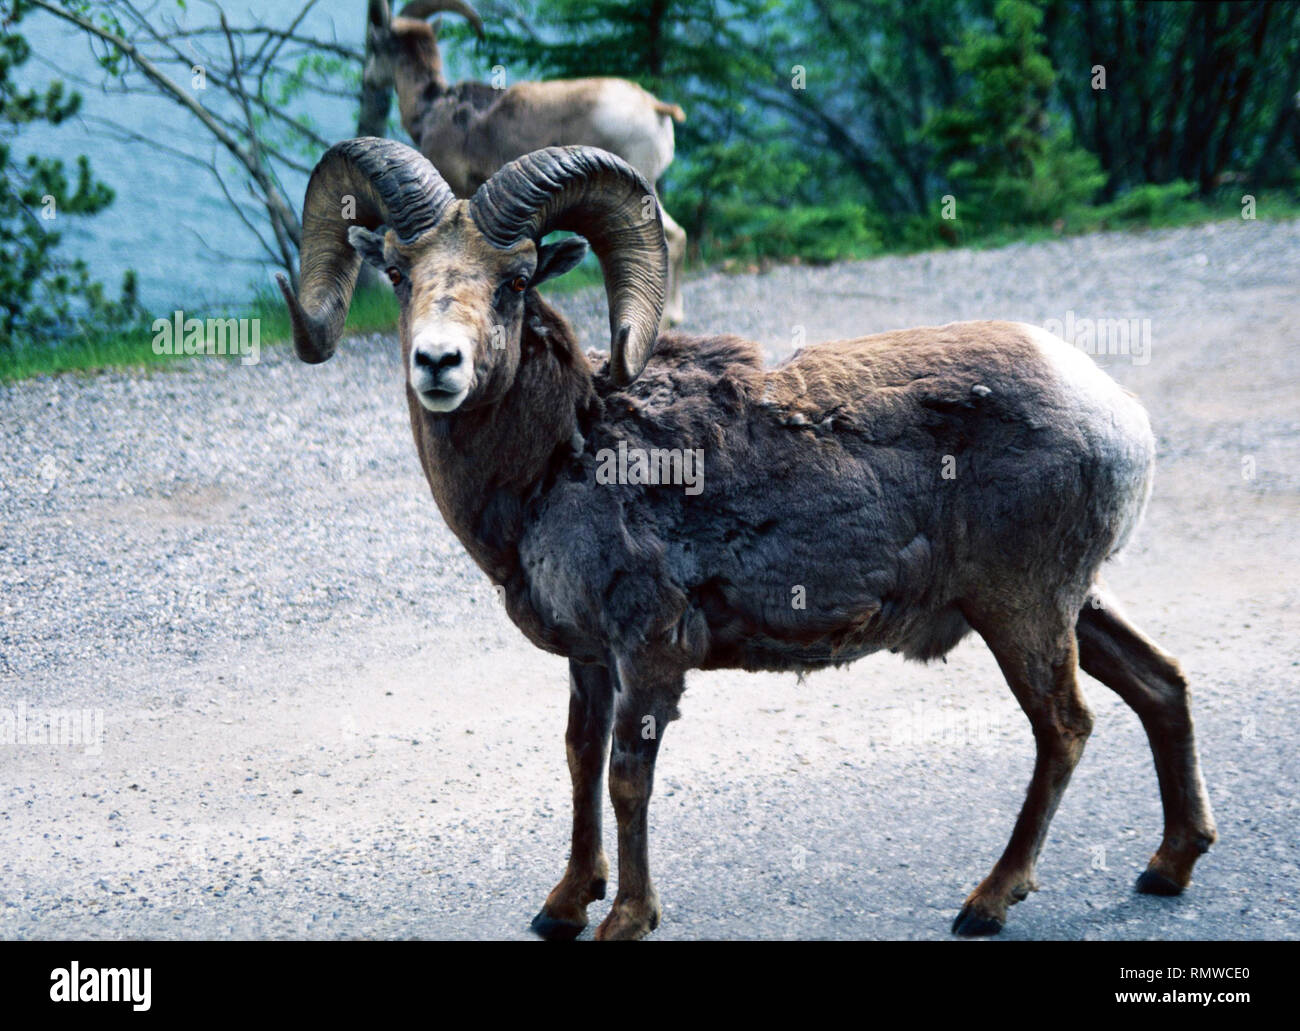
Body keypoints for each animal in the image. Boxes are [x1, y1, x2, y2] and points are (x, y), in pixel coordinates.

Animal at [278, 137, 1218, 941]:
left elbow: (626, 777)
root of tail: (1116, 414)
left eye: (513, 280)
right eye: (399, 271)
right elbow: (580, 763)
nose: (439, 364)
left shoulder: (651, 651)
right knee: (1161, 683)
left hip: (1023, 611)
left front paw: (627, 917)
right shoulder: (590, 659)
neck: (564, 451)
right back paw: (1167, 868)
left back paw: (987, 902)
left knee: (1065, 726)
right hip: (1075, 603)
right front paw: (563, 906)